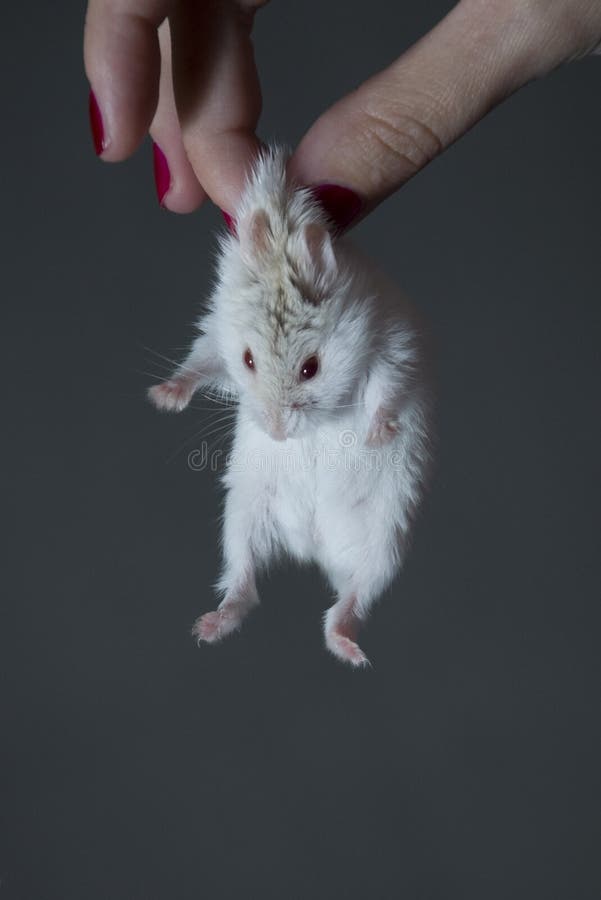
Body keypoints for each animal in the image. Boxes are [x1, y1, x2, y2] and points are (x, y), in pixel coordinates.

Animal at [148, 147, 432, 667]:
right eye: (248, 360)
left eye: (311, 367)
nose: (279, 434)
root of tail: (313, 546)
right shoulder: (217, 337)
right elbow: (201, 364)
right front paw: (163, 397)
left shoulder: (391, 346)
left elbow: (385, 391)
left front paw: (377, 434)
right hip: (242, 515)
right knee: (244, 584)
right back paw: (209, 627)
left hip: (385, 540)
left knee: (351, 600)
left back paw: (350, 652)